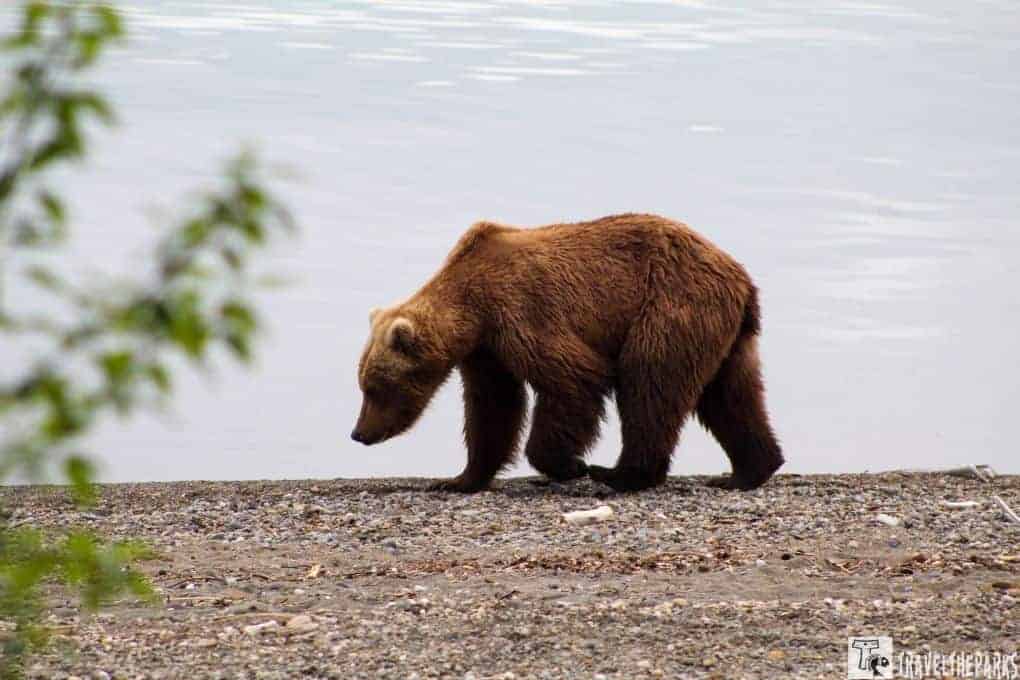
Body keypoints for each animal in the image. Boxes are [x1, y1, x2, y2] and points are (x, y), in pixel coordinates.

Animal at [351, 213, 783, 493]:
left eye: (374, 387)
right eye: (363, 385)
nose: (358, 433)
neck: (473, 306)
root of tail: (742, 278)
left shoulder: (521, 313)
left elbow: (573, 378)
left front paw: (569, 465)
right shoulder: (487, 351)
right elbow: (491, 408)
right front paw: (459, 479)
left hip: (669, 306)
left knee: (649, 384)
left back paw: (620, 475)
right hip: (723, 333)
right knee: (732, 395)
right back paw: (749, 470)